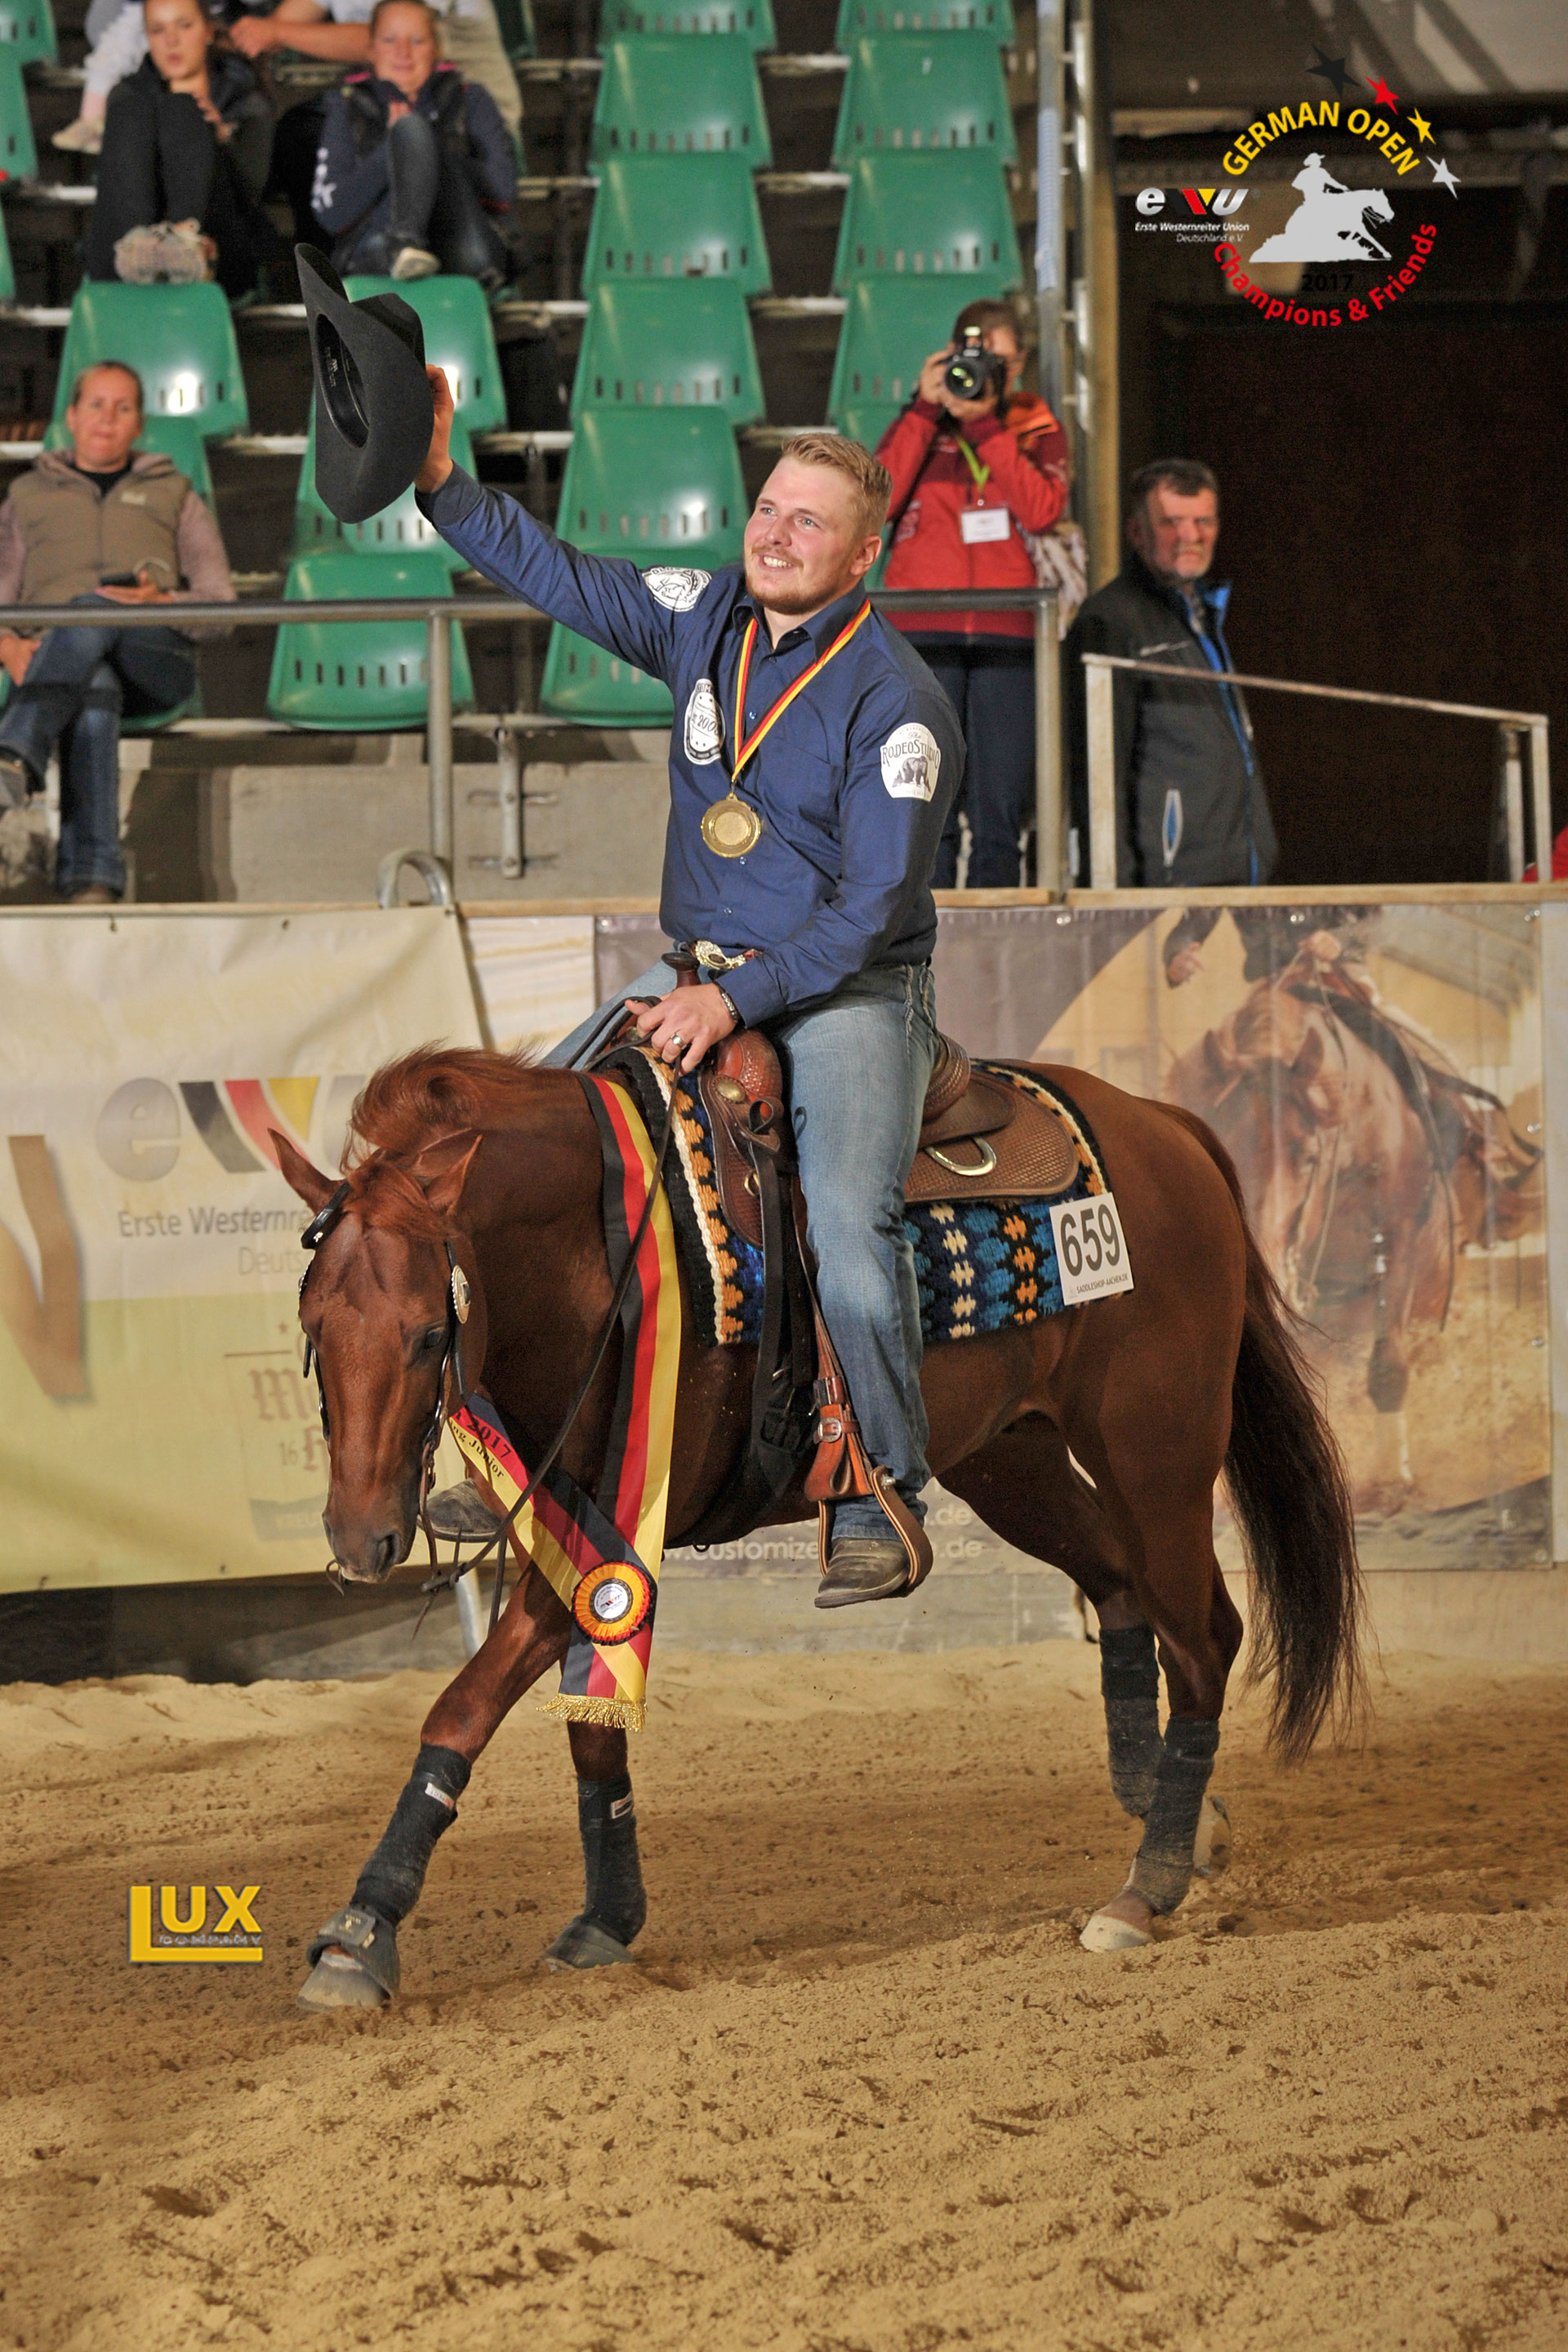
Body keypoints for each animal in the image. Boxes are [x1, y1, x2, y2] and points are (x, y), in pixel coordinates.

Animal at [273, 1041, 1362, 2009]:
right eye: (314, 1327)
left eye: (427, 1333)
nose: (362, 1541)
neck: (600, 1248)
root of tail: (1167, 1128)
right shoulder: (589, 1537)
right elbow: (593, 1729)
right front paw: (605, 1920)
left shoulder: (607, 1543)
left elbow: (461, 1710)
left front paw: (361, 1935)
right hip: (1011, 1459)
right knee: (1122, 1590)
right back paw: (1174, 1815)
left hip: (1156, 1451)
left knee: (1205, 1637)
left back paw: (1147, 1886)